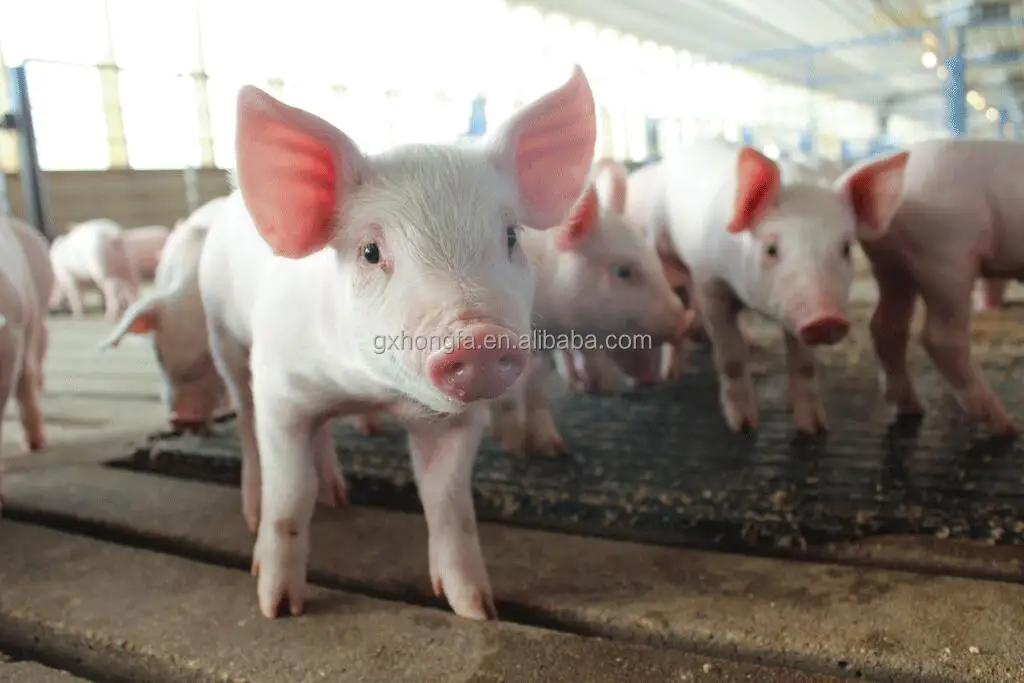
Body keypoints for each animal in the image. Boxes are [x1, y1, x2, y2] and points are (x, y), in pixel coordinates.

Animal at [197, 66, 597, 620]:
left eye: (511, 237)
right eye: (370, 251)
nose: (477, 336)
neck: (369, 389)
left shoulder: (457, 422)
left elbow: (449, 504)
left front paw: (477, 609)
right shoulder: (279, 388)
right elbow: (290, 495)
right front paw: (278, 608)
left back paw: (338, 495)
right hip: (225, 340)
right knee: (245, 424)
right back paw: (260, 511)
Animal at [490, 179, 693, 456]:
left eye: (657, 265)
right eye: (623, 271)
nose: (686, 321)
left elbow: (537, 392)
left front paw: (554, 449)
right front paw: (515, 450)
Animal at [631, 140, 909, 433]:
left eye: (845, 248)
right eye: (771, 249)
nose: (826, 319)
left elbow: (805, 365)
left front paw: (815, 428)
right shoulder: (712, 284)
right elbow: (730, 357)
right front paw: (743, 426)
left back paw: (748, 340)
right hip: (663, 249)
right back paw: (671, 374)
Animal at [862, 139, 1024, 435]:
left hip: (890, 264)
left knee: (885, 326)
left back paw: (911, 408)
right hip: (946, 257)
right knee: (940, 338)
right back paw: (1005, 425)